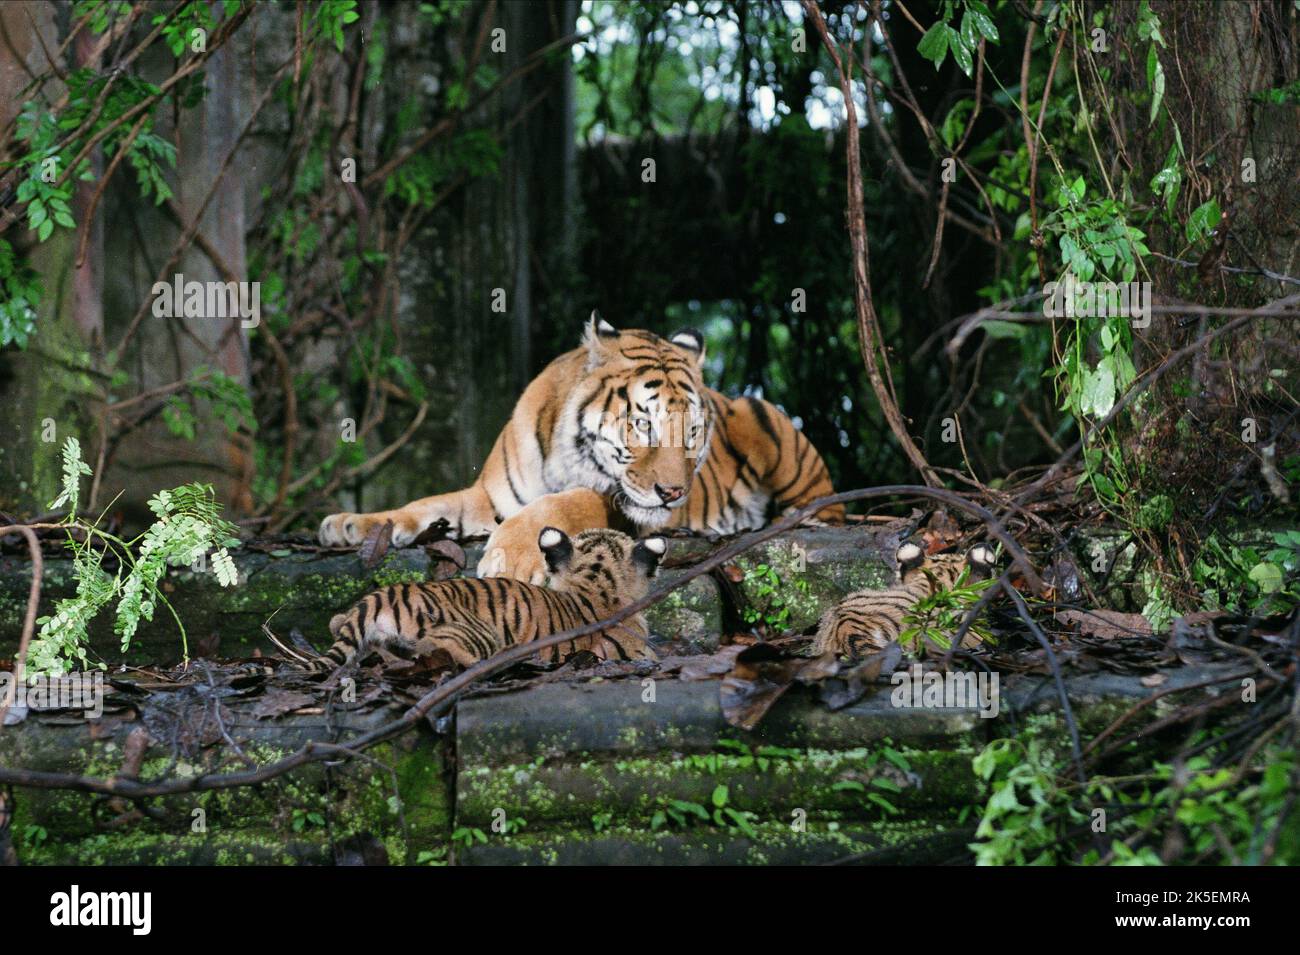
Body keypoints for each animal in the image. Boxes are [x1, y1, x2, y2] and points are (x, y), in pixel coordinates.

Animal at [309, 527, 665, 672]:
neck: (594, 586)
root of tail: (385, 594)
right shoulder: (632, 649)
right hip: (474, 630)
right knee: (439, 647)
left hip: (349, 620)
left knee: (340, 625)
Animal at [318, 312, 842, 583]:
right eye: (643, 425)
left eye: (692, 433)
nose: (675, 495)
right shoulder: (488, 496)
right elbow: (424, 505)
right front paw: (349, 525)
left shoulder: (620, 505)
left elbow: (567, 503)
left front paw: (511, 555)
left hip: (769, 422)